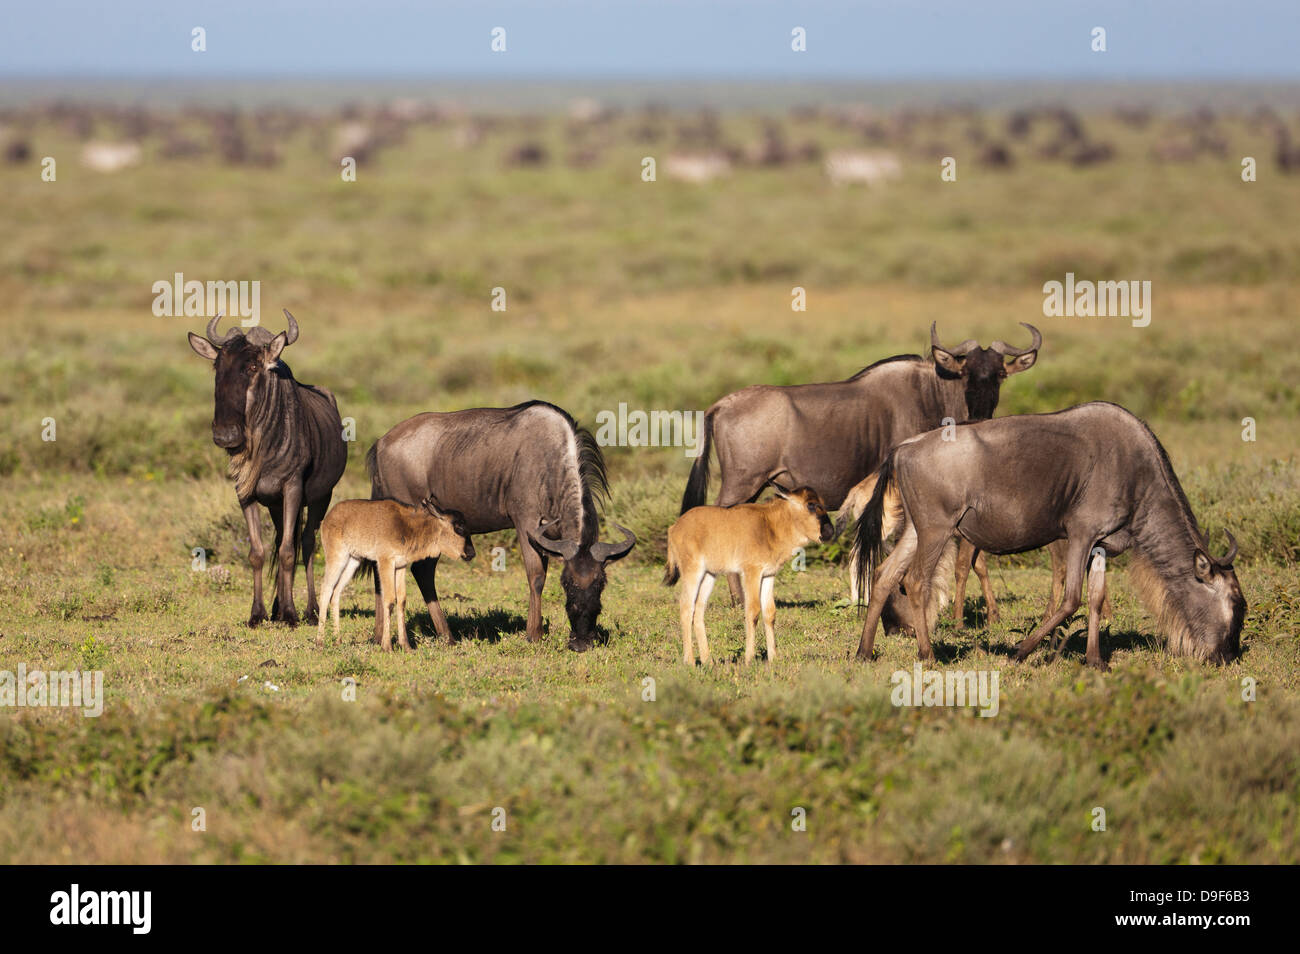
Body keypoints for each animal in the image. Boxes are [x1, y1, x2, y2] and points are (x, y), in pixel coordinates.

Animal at [187, 311, 347, 626]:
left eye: (252, 366)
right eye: (217, 366)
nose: (225, 435)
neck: (265, 444)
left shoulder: (293, 489)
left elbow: (287, 552)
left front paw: (291, 614)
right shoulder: (245, 494)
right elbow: (258, 552)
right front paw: (258, 614)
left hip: (321, 498)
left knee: (305, 543)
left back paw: (309, 610)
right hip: (276, 506)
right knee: (282, 540)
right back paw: (277, 607)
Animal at [316, 496, 475, 651]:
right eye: (459, 528)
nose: (471, 553)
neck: (407, 528)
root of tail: (328, 517)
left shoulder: (400, 566)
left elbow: (401, 601)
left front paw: (405, 645)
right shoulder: (385, 562)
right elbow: (389, 600)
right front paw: (387, 646)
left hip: (353, 561)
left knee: (336, 593)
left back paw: (337, 640)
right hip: (337, 557)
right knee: (326, 590)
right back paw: (320, 642)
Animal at [365, 401, 636, 651]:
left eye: (601, 583)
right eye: (566, 583)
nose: (582, 642)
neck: (550, 459)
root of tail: (381, 444)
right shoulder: (525, 523)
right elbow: (536, 576)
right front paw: (534, 635)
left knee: (412, 572)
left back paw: (397, 637)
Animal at [665, 482, 834, 666]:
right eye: (810, 504)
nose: (829, 532)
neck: (770, 527)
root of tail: (674, 527)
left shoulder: (768, 576)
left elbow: (770, 613)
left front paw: (773, 658)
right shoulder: (751, 573)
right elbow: (752, 611)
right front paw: (749, 658)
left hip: (709, 575)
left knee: (698, 610)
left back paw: (707, 660)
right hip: (693, 572)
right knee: (686, 607)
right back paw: (689, 661)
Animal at [852, 403, 1246, 670]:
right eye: (1235, 604)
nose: (1227, 658)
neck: (1136, 472)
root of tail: (903, 448)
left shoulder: (1101, 545)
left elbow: (1096, 599)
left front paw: (1095, 661)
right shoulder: (1080, 534)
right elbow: (1071, 599)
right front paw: (1020, 652)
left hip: (917, 531)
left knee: (885, 575)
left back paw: (863, 652)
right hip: (937, 530)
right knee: (916, 581)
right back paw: (928, 654)